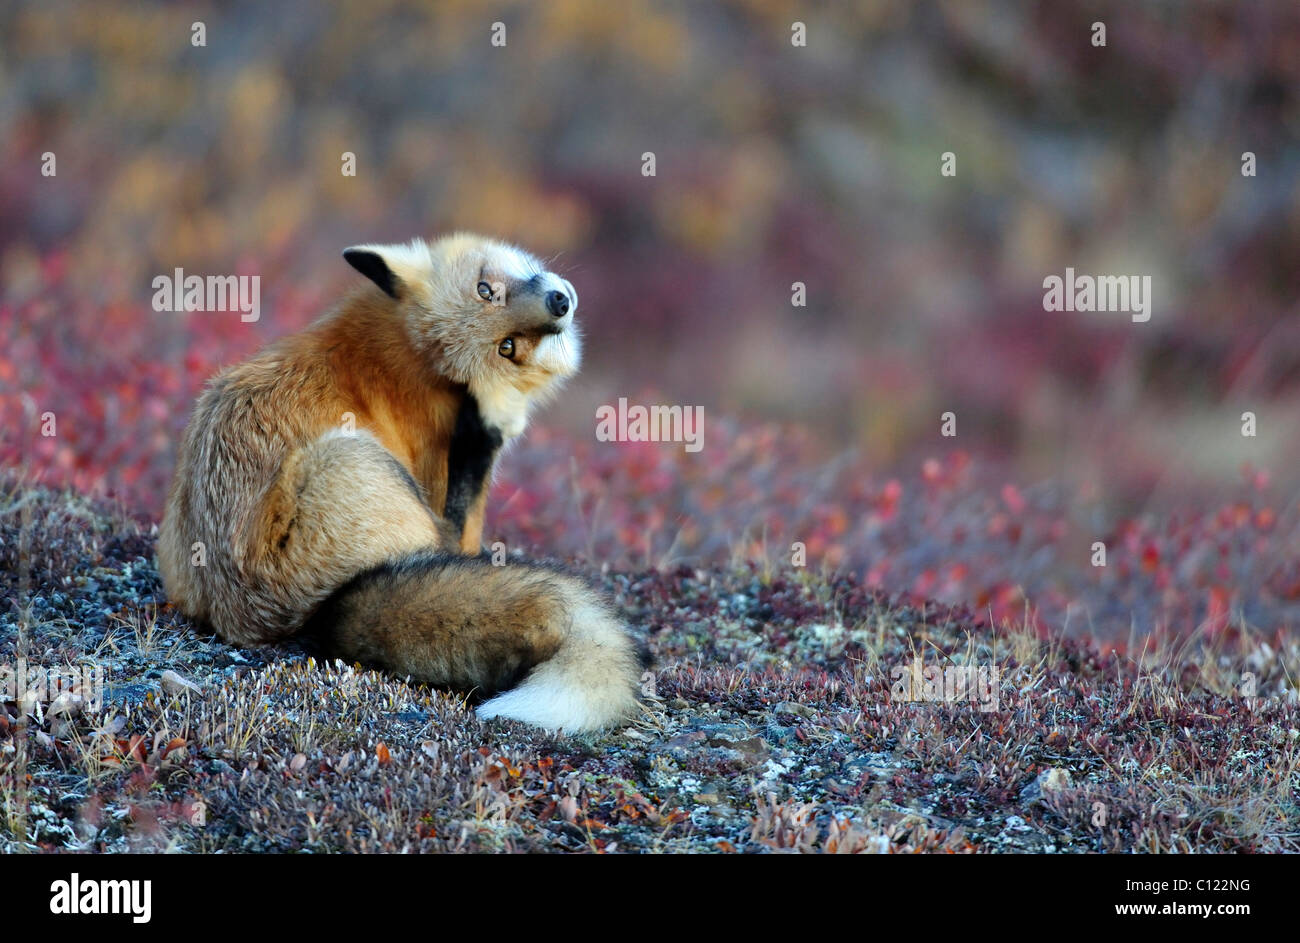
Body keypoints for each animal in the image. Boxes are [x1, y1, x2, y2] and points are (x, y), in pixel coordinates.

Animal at [156, 233, 644, 733]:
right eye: (504, 343)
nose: (559, 302)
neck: (409, 356)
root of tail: (251, 617)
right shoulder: (460, 482)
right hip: (354, 459)